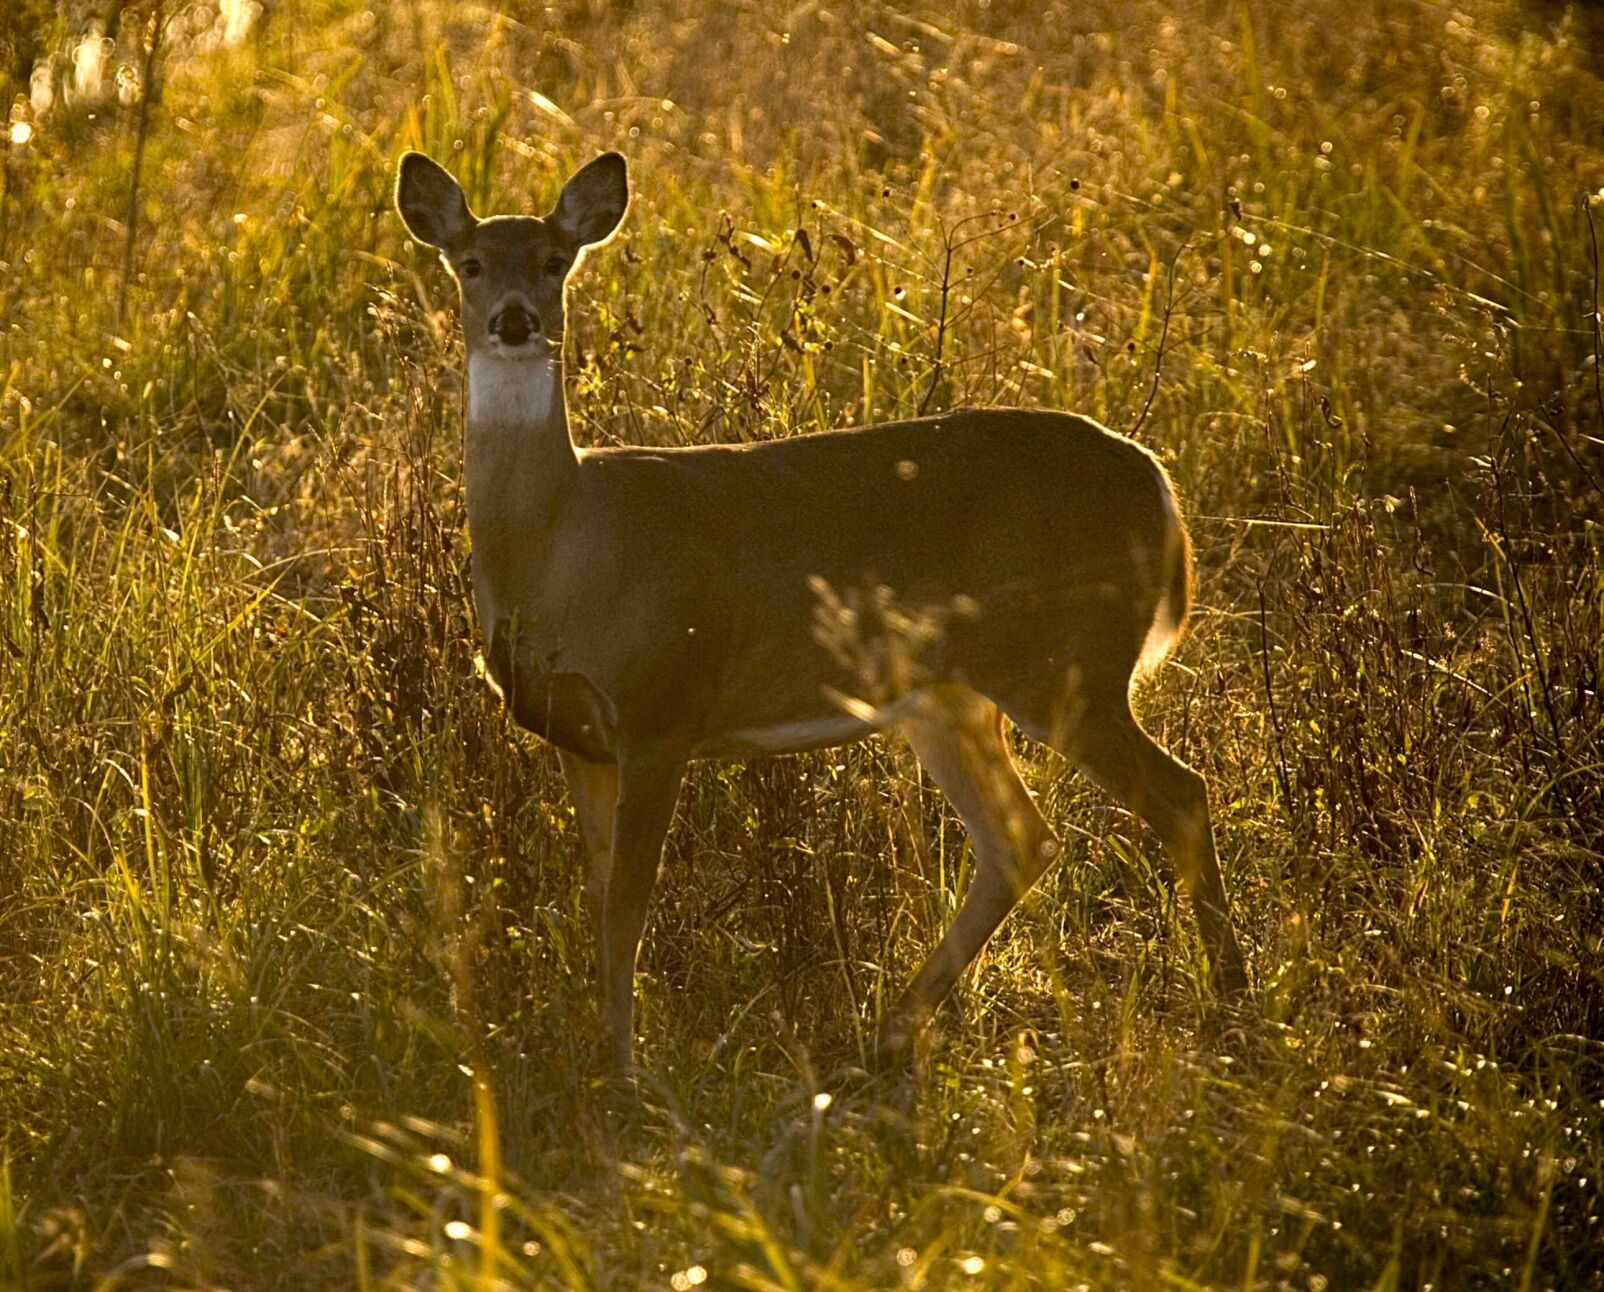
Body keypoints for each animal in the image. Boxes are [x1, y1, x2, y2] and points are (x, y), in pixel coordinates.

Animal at [393, 149, 1248, 1076]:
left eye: (556, 261)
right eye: (470, 264)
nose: (515, 320)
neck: (563, 546)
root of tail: (1157, 483)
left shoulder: (664, 706)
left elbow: (629, 902)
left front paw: (627, 1072)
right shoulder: (578, 737)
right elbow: (597, 896)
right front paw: (601, 1049)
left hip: (1067, 662)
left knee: (1178, 795)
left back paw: (1233, 1009)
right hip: (952, 695)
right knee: (1020, 838)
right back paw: (887, 1034)